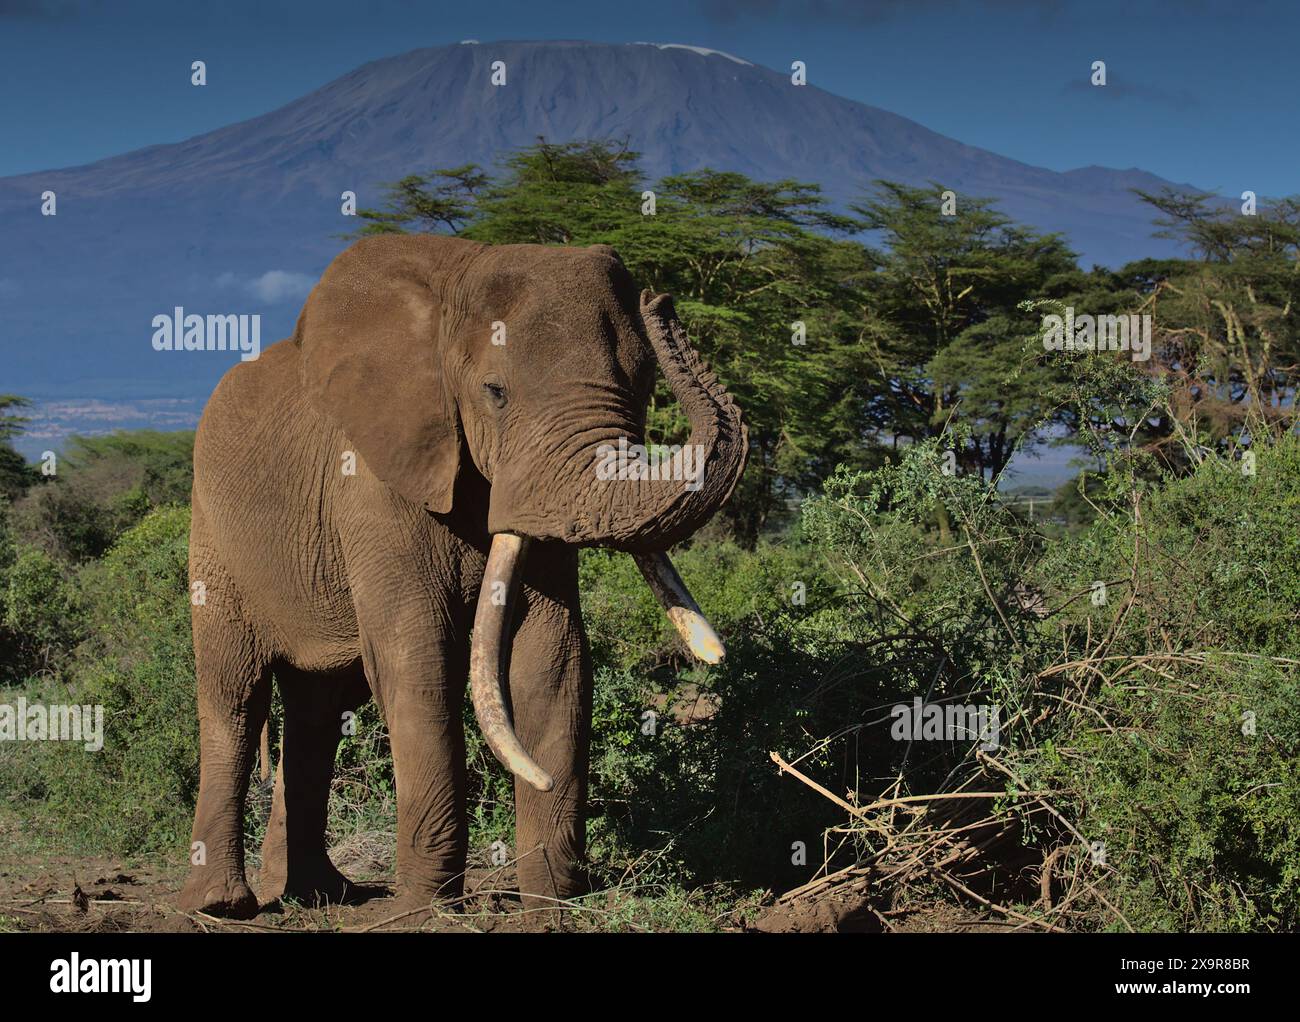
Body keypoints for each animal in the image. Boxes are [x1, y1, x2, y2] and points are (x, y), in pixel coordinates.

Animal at [176, 233, 747, 919]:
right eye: (494, 392)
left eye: (641, 384)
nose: (660, 302)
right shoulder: (372, 479)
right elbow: (416, 660)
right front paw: (422, 912)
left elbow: (553, 658)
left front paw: (551, 906)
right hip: (214, 538)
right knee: (234, 697)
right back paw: (219, 905)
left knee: (319, 711)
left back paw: (319, 895)